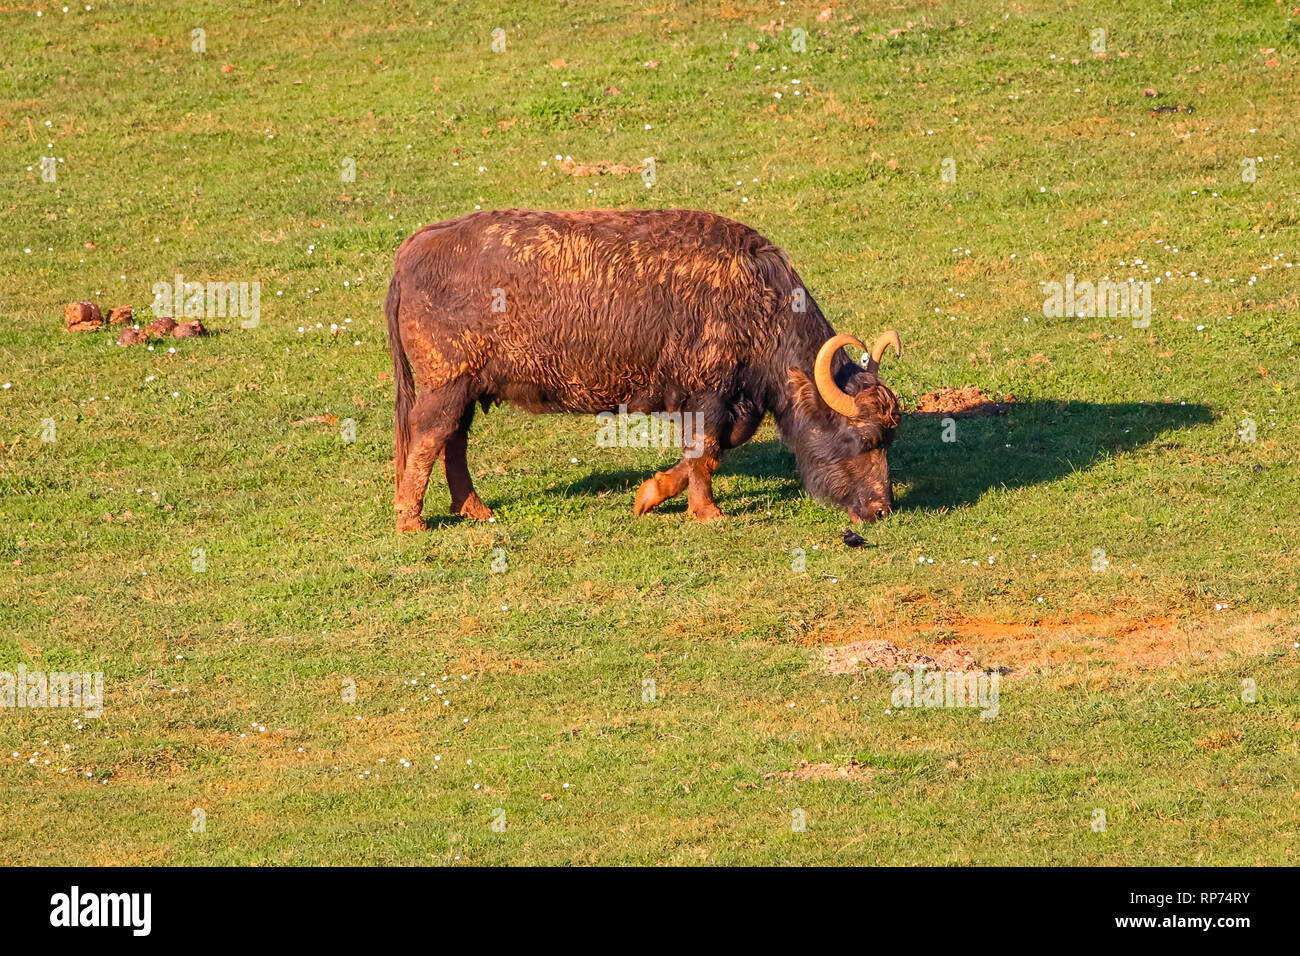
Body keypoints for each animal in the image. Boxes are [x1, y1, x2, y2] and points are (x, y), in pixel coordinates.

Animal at [384, 209, 902, 531]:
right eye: (865, 439)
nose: (881, 510)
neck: (757, 302)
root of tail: (410, 253)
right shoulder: (708, 398)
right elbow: (706, 452)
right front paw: (708, 513)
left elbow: (709, 453)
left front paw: (649, 494)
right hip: (446, 388)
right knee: (429, 438)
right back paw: (411, 520)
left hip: (465, 391)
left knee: (452, 442)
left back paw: (475, 510)